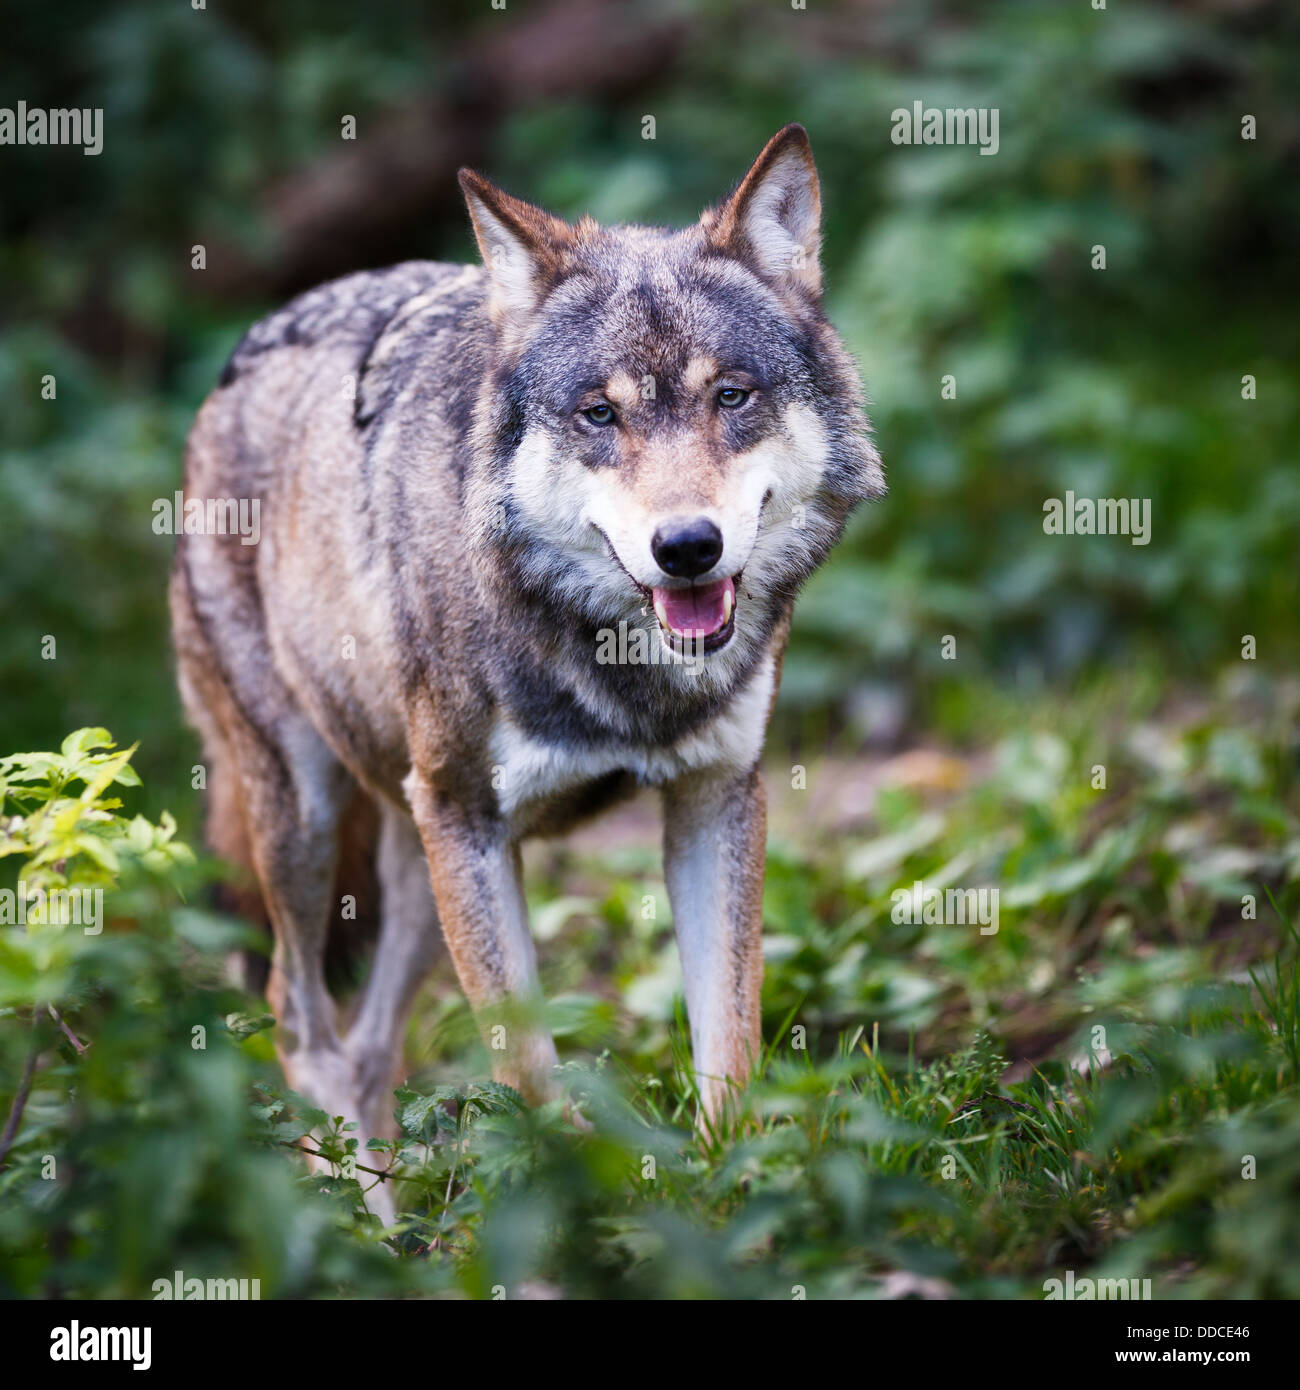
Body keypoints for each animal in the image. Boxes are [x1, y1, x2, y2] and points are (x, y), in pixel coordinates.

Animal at [170, 125, 883, 1212]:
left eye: (730, 396)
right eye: (599, 416)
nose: (688, 547)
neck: (616, 665)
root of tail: (228, 374)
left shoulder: (717, 800)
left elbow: (730, 1053)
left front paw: (731, 1203)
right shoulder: (469, 822)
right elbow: (532, 1077)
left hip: (417, 864)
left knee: (371, 1052)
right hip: (317, 822)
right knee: (300, 1024)